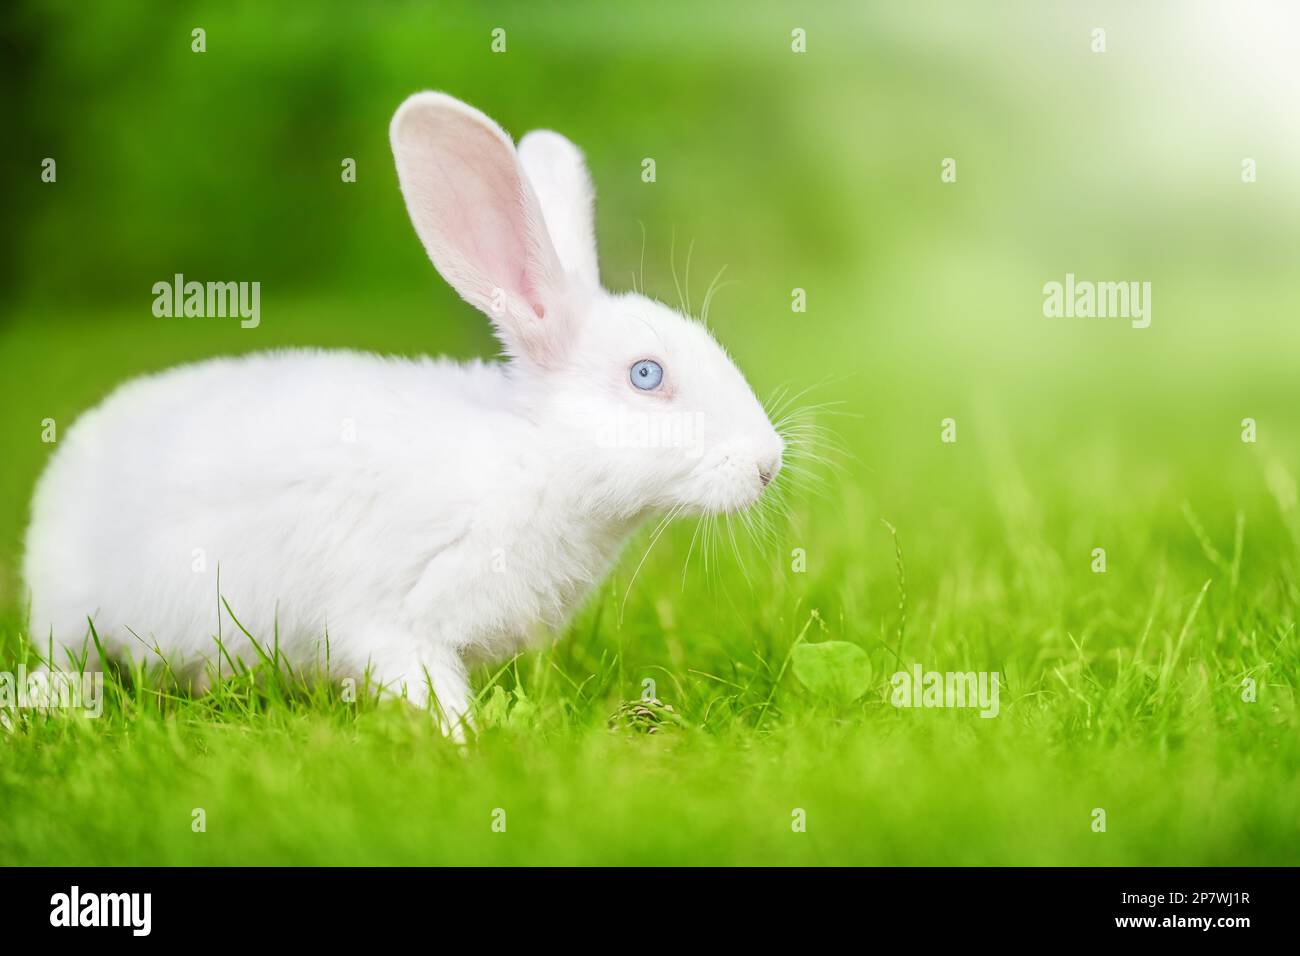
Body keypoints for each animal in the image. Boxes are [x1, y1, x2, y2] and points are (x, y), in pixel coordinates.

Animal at [21, 92, 784, 734]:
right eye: (646, 375)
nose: (768, 463)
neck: (535, 459)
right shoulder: (393, 620)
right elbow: (425, 688)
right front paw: (466, 744)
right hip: (76, 618)